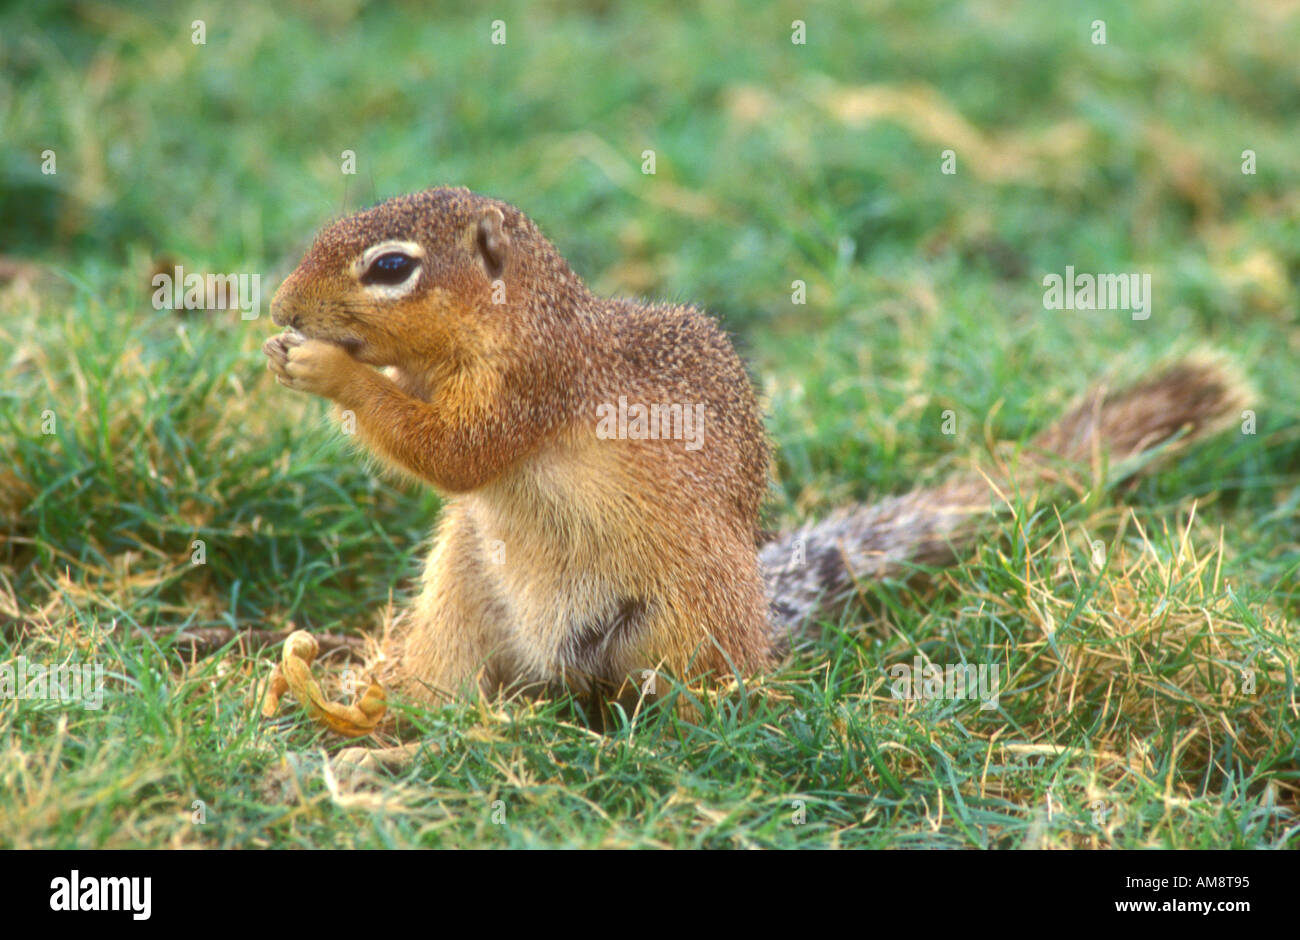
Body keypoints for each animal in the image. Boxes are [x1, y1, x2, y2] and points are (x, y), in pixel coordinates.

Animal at [263, 186, 1251, 727]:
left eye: (392, 267)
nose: (280, 306)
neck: (524, 316)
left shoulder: (534, 384)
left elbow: (457, 451)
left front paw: (328, 370)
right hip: (464, 590)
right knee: (453, 673)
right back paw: (367, 706)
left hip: (681, 620)